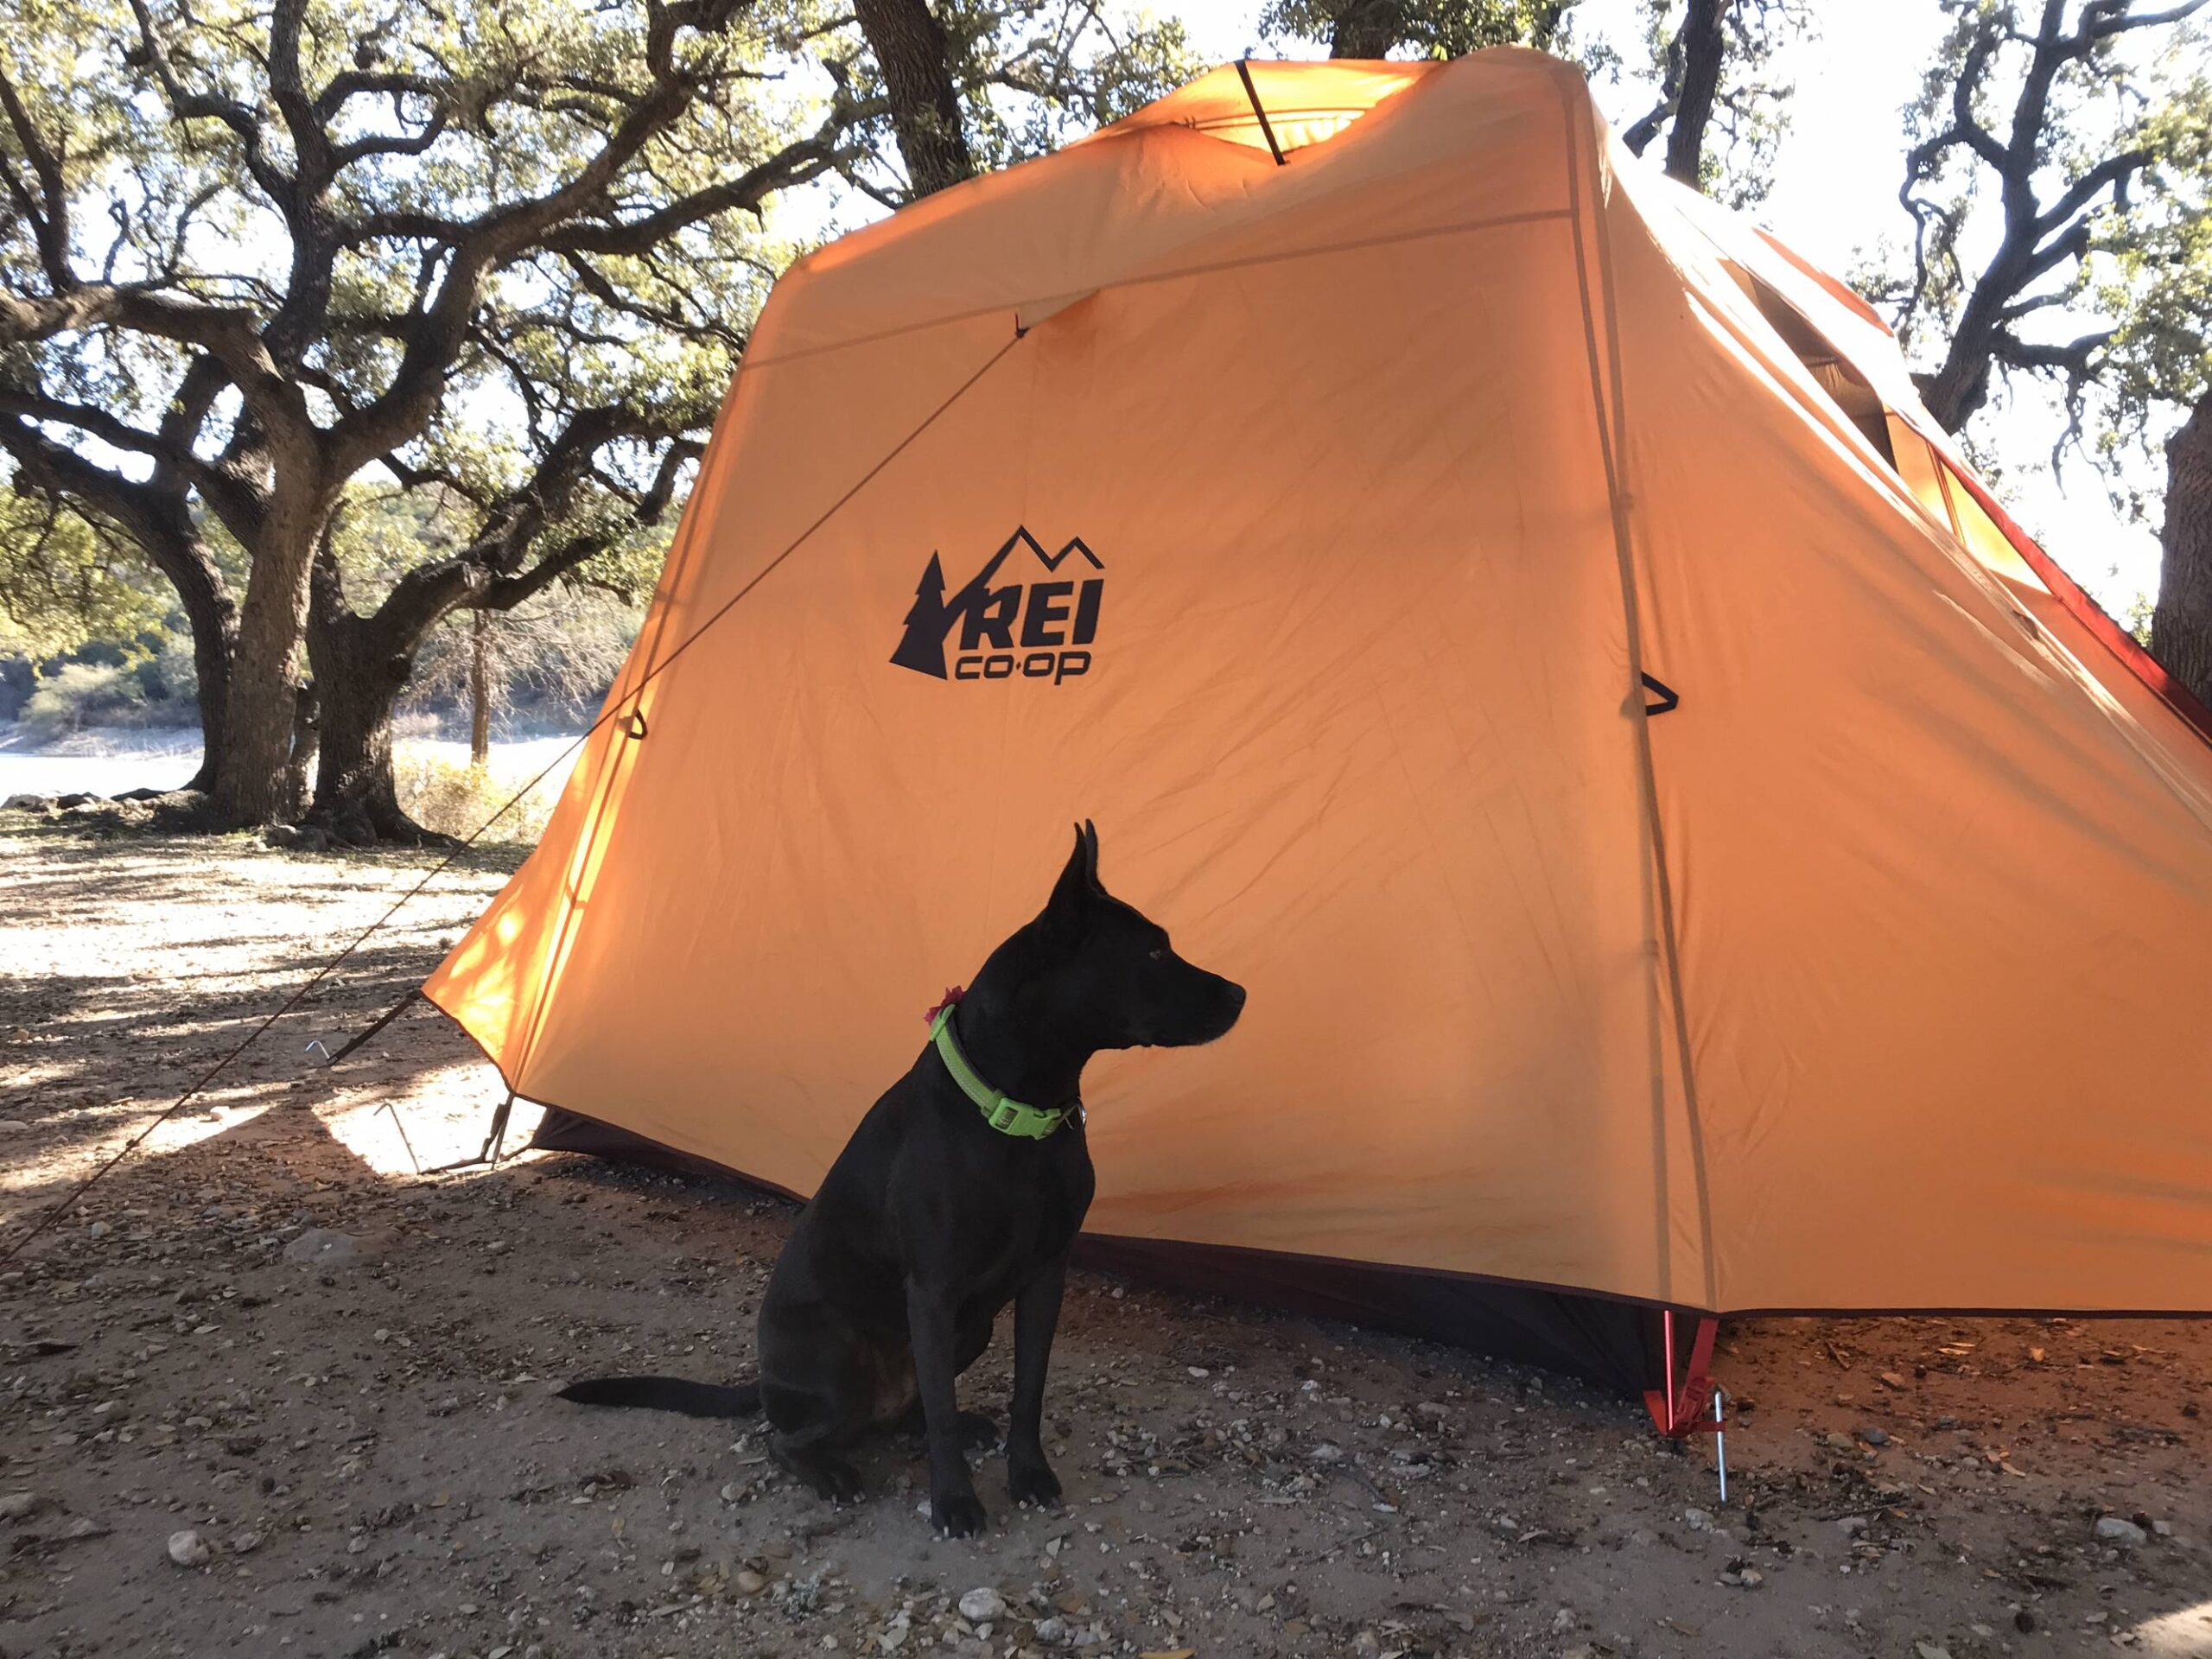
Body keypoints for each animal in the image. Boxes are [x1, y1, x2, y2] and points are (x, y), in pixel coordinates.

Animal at [557, 827, 1247, 1539]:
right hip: (840, 1356)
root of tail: (769, 1383)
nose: (1240, 994)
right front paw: (955, 1502)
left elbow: (1026, 1392)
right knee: (788, 1438)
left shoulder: (1045, 1278)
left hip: (973, 1327)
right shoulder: (934, 1290)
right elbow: (939, 1413)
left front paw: (1028, 1474)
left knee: (912, 1407)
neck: (1016, 1116)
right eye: (1154, 950)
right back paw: (830, 1469)